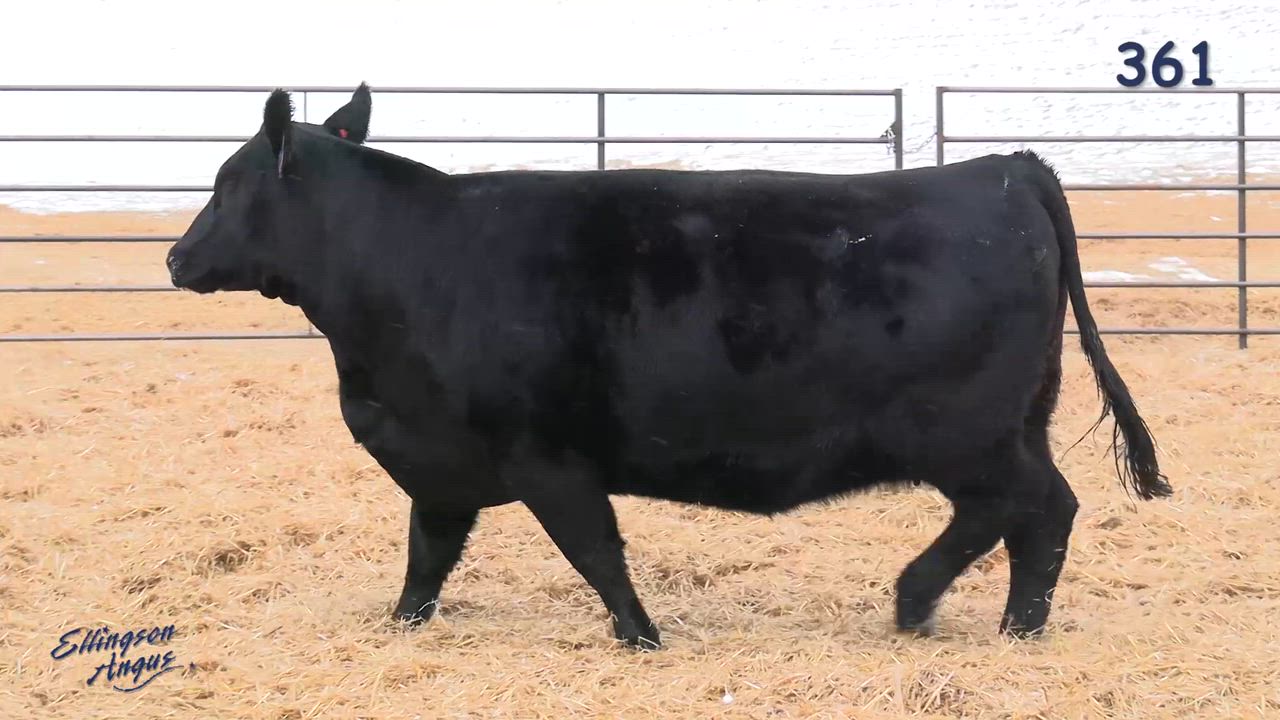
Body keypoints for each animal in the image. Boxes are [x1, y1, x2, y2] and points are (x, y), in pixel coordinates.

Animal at [165, 86, 1171, 650]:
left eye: (225, 184)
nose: (175, 257)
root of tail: (1006, 167)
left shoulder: (549, 460)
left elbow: (597, 554)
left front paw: (643, 639)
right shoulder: (445, 464)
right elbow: (427, 560)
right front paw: (401, 628)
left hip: (970, 434)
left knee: (1029, 509)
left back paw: (921, 602)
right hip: (1011, 426)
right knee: (1033, 519)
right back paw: (1010, 629)